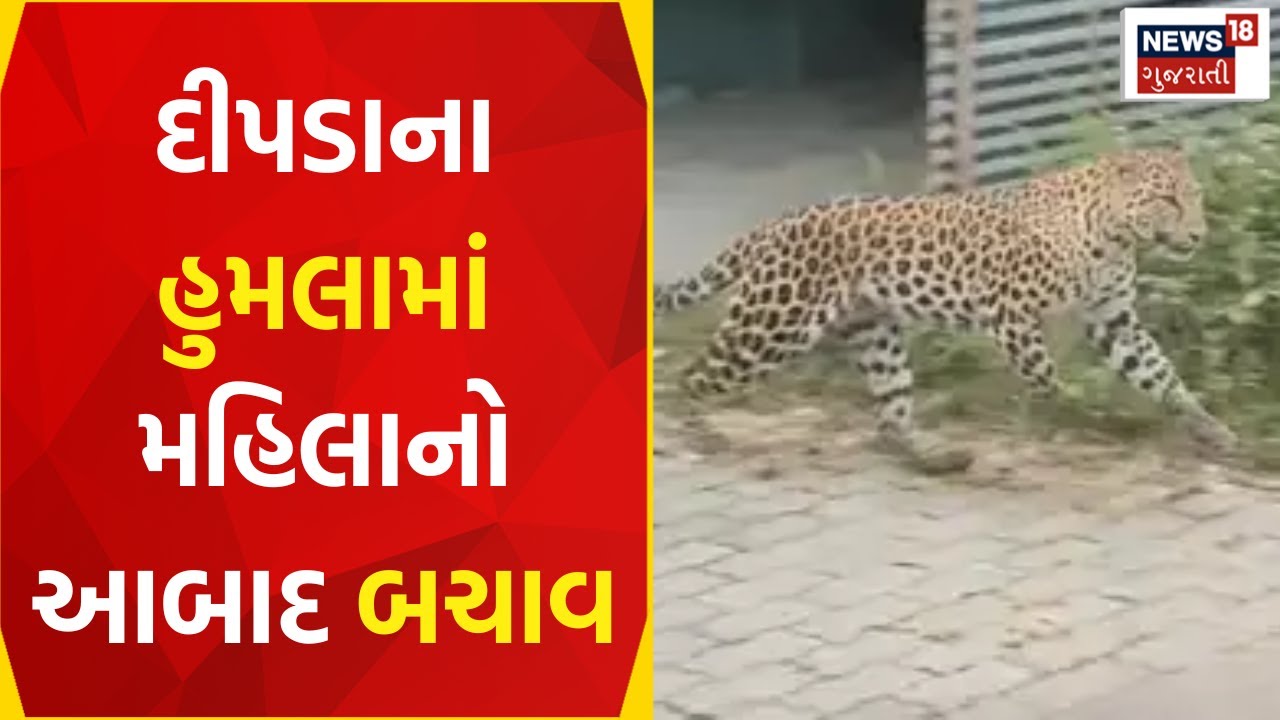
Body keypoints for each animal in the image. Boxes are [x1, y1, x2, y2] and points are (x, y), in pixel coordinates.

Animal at [654, 145, 1239, 473]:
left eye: (1196, 196)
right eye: (1167, 199)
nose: (1198, 234)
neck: (1115, 236)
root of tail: (774, 223)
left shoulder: (1112, 320)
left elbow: (1162, 375)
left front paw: (1210, 429)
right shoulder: (1012, 313)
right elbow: (1046, 376)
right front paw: (1069, 414)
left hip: (875, 335)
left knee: (890, 419)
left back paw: (938, 459)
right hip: (770, 326)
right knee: (691, 377)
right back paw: (698, 432)